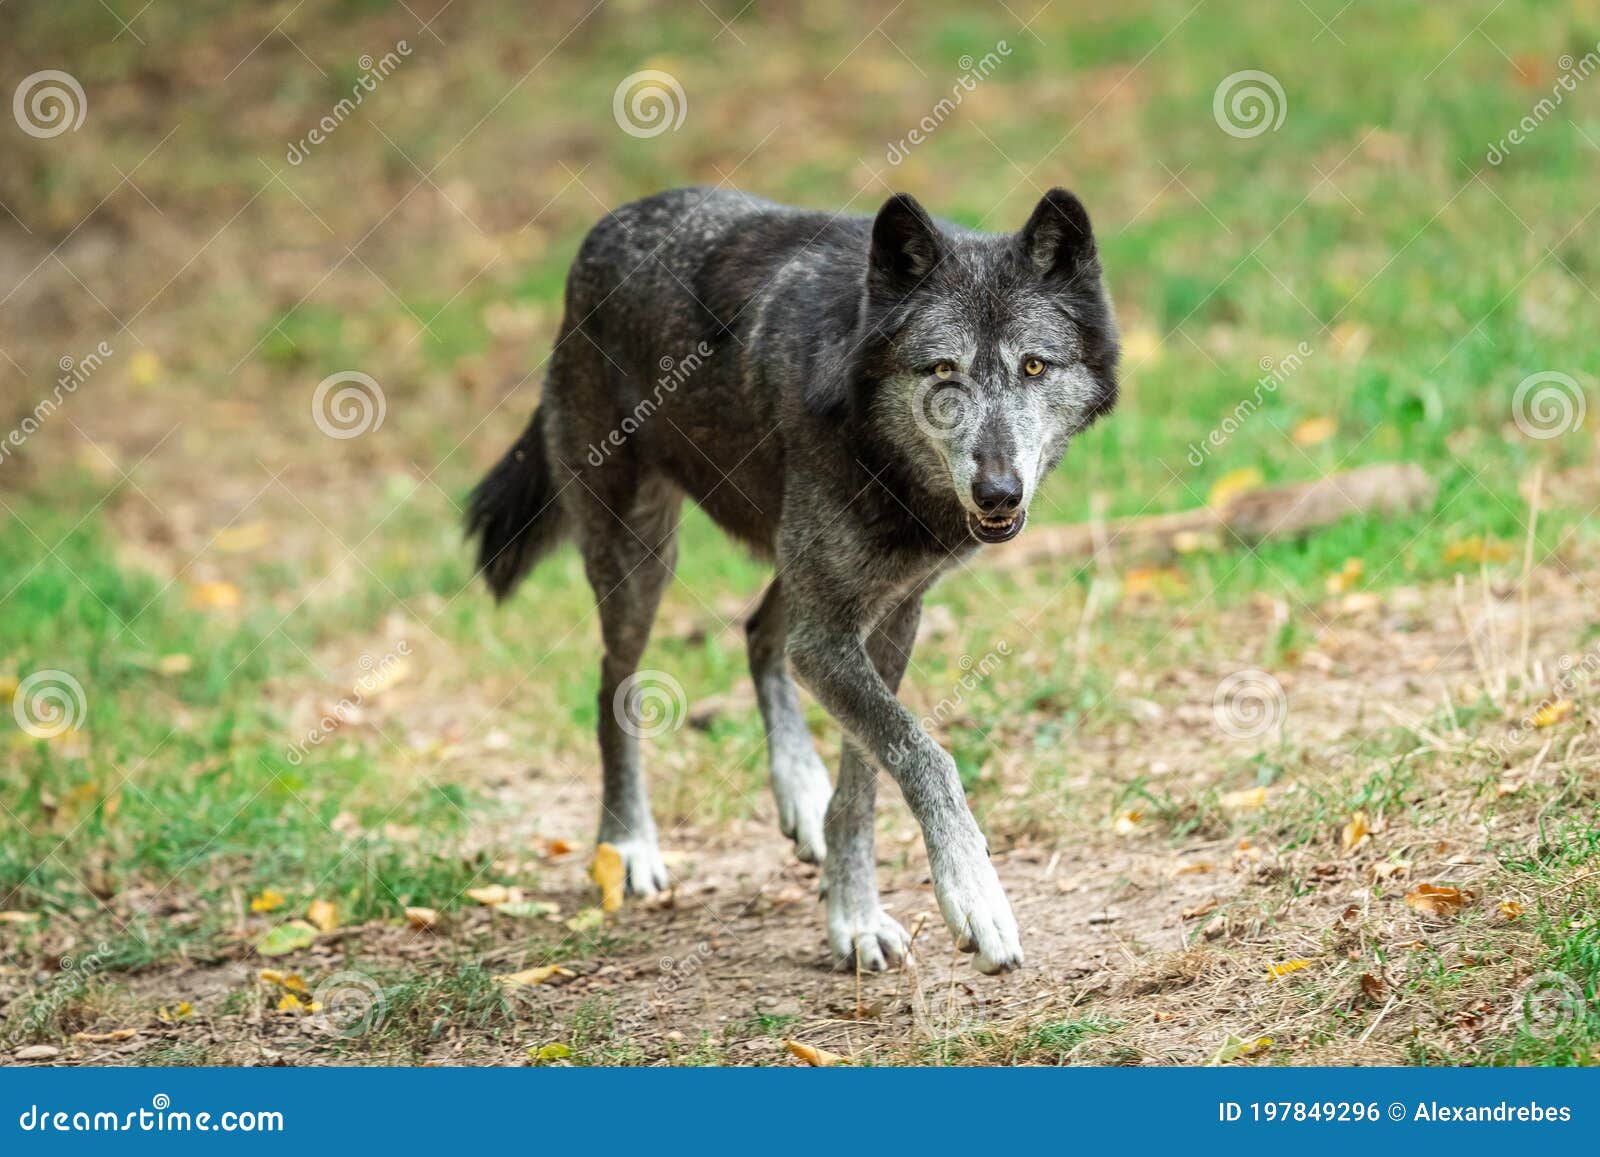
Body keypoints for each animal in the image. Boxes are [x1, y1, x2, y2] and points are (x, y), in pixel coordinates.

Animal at [468, 186, 1118, 973]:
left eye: (1033, 367)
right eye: (942, 371)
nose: (998, 491)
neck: (880, 452)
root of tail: (608, 225)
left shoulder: (891, 613)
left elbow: (867, 777)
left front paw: (854, 912)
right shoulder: (832, 635)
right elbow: (924, 753)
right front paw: (972, 892)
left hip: (792, 568)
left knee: (756, 633)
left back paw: (799, 790)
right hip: (643, 564)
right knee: (612, 683)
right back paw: (626, 844)